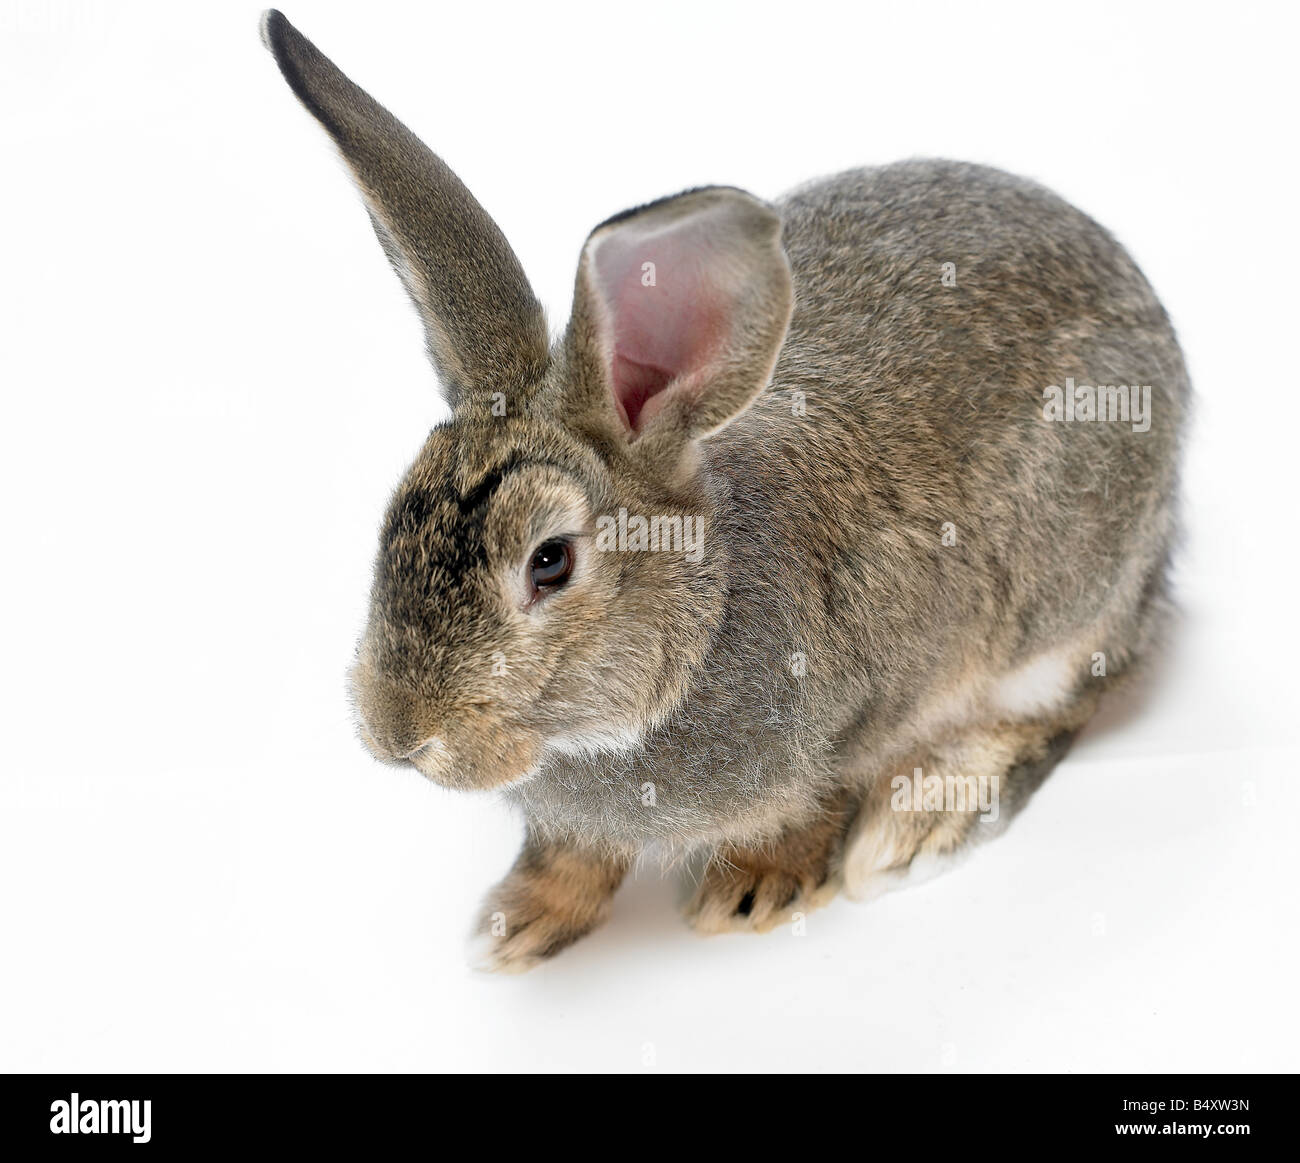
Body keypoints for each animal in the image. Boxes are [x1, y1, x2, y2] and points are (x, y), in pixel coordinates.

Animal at [262, 11, 1188, 971]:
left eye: (550, 562)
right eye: (391, 519)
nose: (399, 734)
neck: (702, 619)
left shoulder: (857, 720)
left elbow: (811, 807)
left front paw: (751, 892)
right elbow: (570, 853)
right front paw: (516, 925)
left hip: (1063, 604)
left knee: (1063, 701)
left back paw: (915, 827)